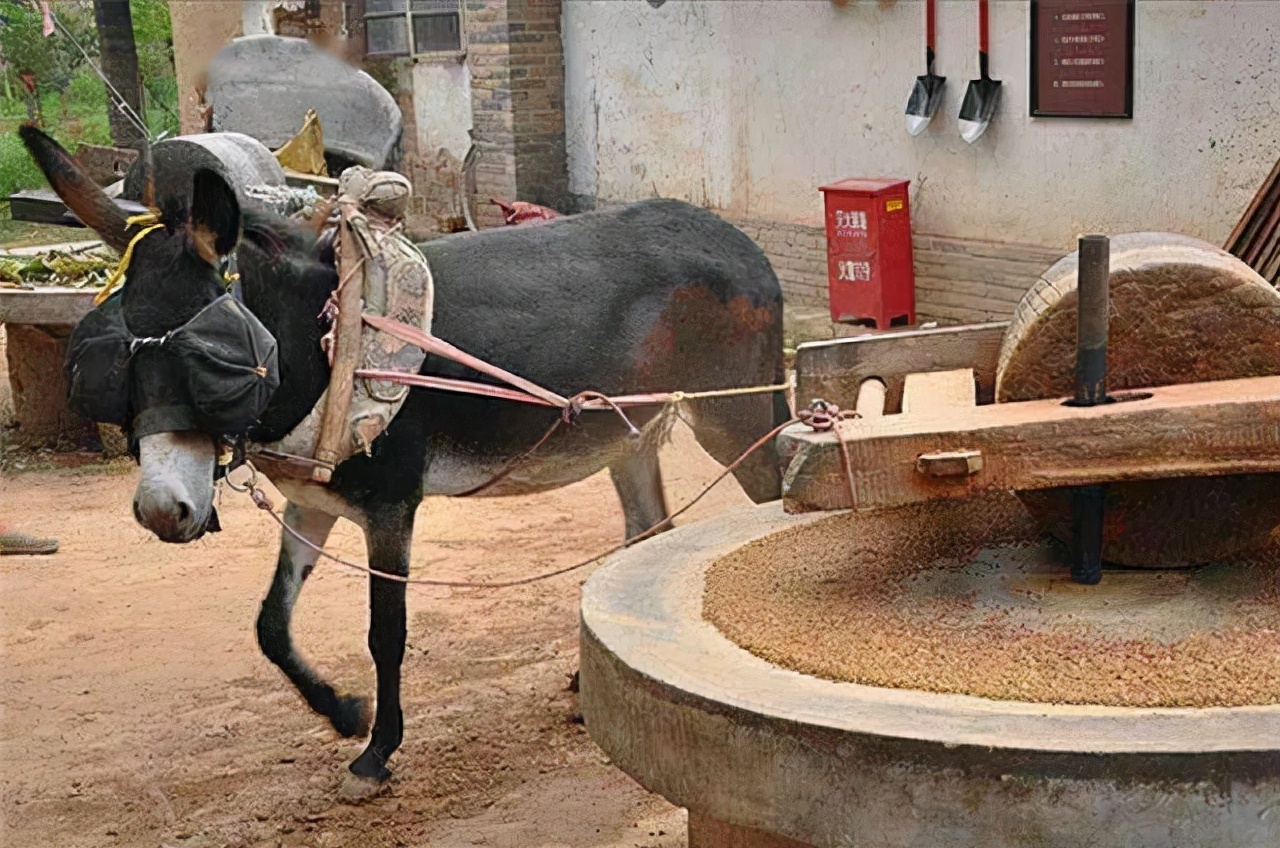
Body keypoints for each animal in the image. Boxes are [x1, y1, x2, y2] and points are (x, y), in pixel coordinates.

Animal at [20, 125, 788, 791]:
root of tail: (739, 240)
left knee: (778, 493)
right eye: (108, 364)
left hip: (733, 413)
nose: (161, 512)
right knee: (648, 529)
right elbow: (270, 625)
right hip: (626, 433)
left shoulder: (390, 507)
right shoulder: (311, 500)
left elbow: (384, 632)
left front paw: (376, 751)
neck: (325, 338)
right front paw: (343, 712)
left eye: (212, 361)